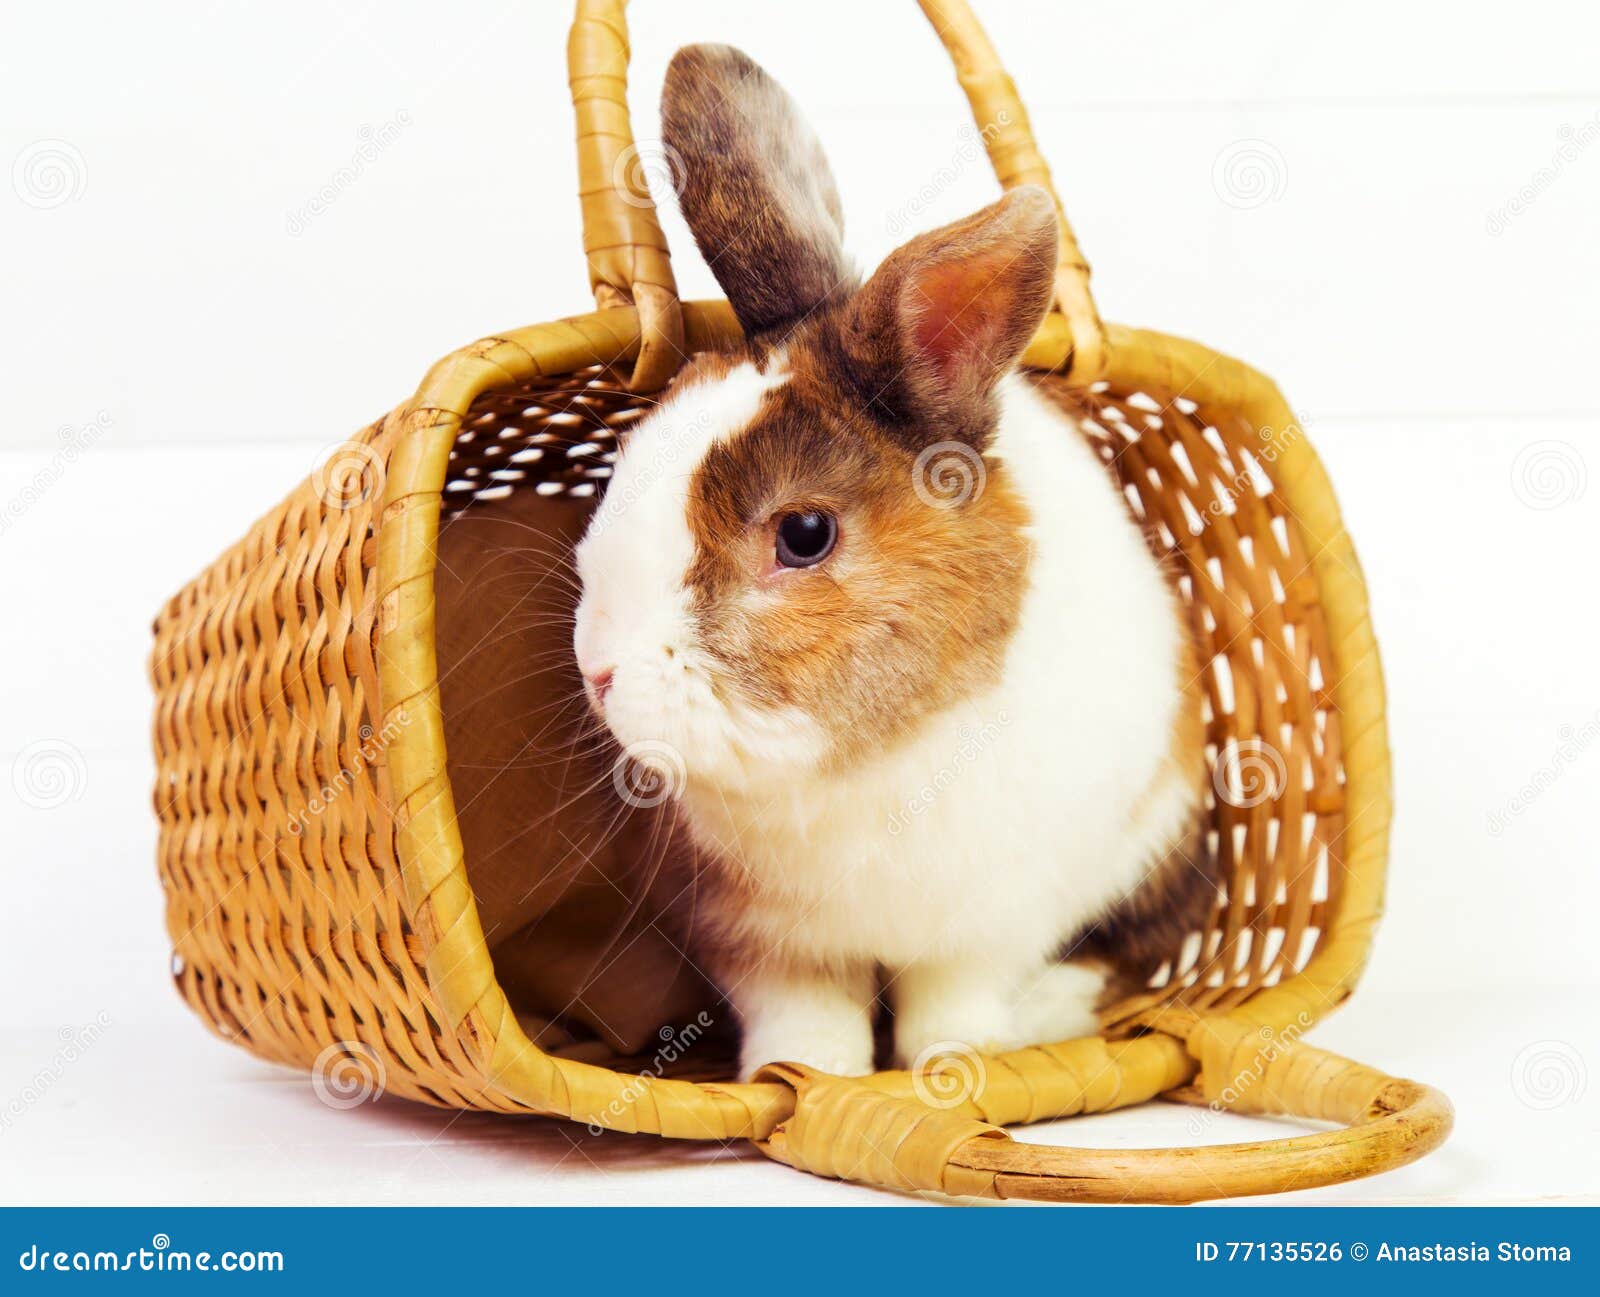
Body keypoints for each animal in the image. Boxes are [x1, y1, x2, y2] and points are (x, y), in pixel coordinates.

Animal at [571, 43, 1210, 1081]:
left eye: (803, 534)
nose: (599, 671)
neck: (852, 768)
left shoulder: (996, 919)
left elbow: (951, 999)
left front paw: (956, 1062)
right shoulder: (759, 936)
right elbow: (801, 1010)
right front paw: (804, 1077)